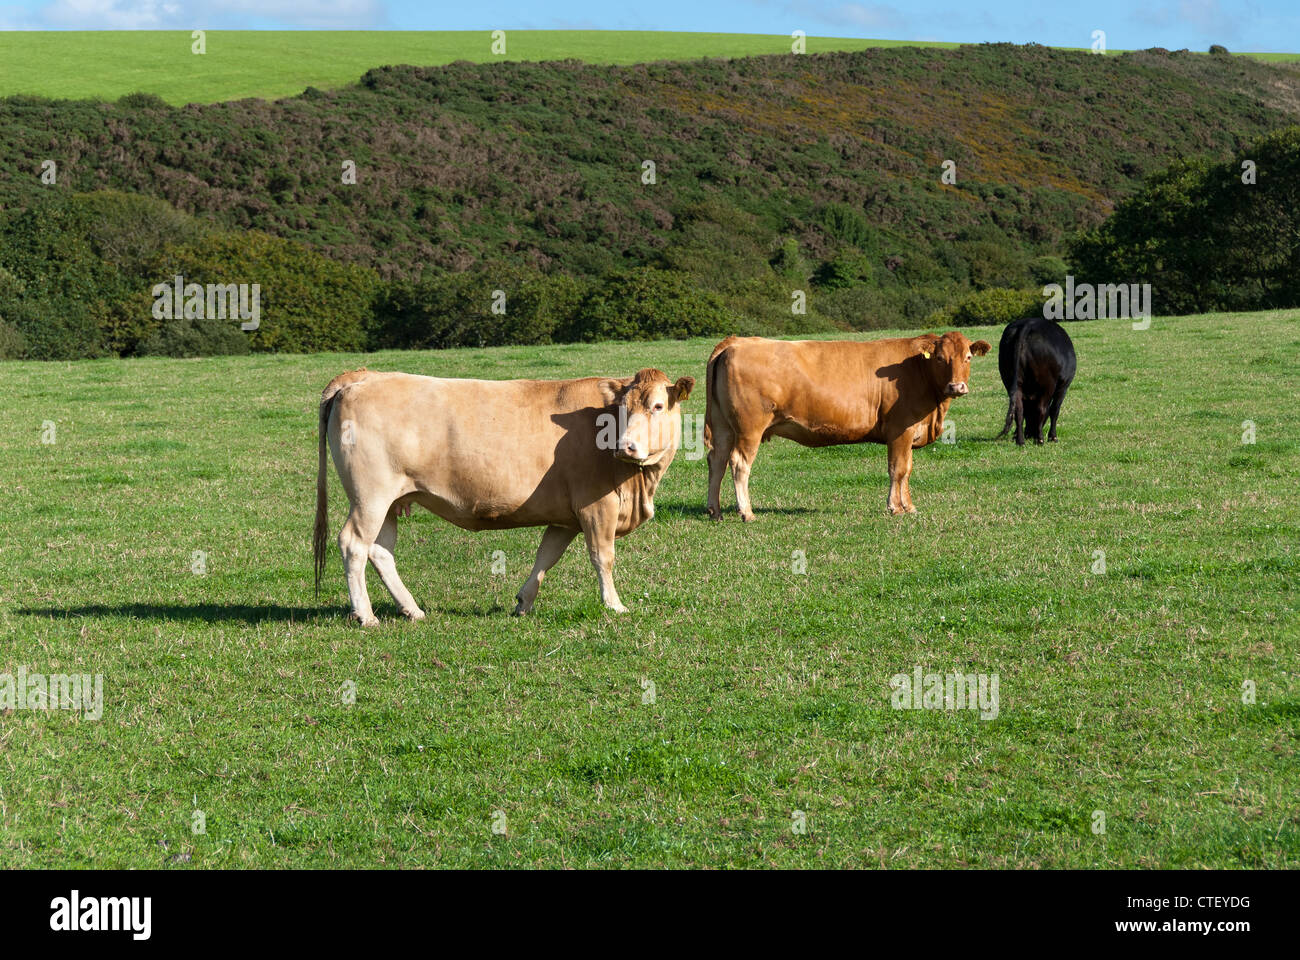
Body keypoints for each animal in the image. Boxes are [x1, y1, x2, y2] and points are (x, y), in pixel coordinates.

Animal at [313, 367, 694, 624]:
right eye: (623, 408)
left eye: (658, 406)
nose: (625, 446)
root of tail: (363, 376)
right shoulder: (597, 507)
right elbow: (603, 557)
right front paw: (613, 604)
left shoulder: (566, 517)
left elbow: (546, 556)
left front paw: (524, 601)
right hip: (370, 497)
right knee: (354, 544)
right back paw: (365, 615)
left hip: (391, 501)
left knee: (380, 551)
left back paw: (412, 609)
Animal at [704, 331, 991, 520]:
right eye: (940, 358)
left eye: (968, 357)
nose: (956, 386)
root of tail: (737, 341)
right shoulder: (901, 429)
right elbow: (897, 469)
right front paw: (895, 508)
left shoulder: (910, 432)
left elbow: (907, 470)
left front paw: (909, 506)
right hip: (749, 428)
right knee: (739, 463)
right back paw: (747, 512)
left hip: (722, 426)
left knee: (716, 460)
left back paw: (715, 511)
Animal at [996, 317, 1077, 446]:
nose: (1029, 434)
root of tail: (1028, 324)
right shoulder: (1063, 387)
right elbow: (1054, 410)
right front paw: (1052, 437)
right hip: (1047, 385)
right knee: (1041, 409)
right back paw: (1040, 439)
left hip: (1011, 381)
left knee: (1019, 409)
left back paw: (1020, 441)